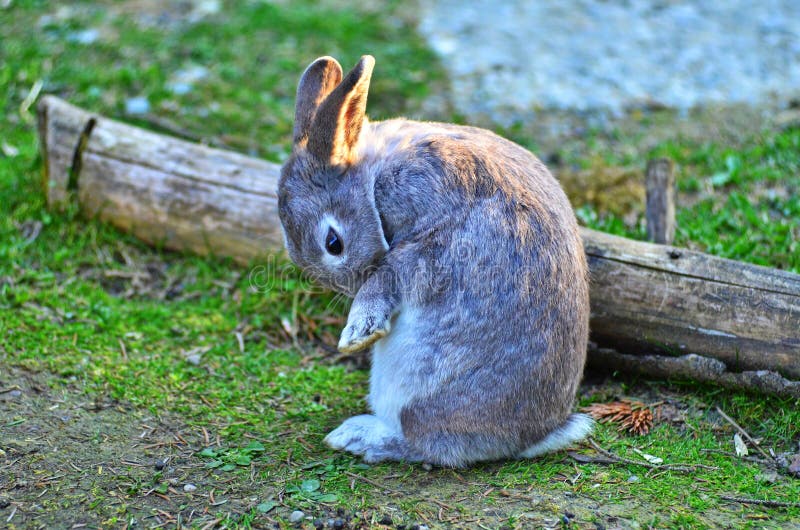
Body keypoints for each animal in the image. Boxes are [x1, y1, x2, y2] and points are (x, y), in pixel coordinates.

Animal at [277, 55, 592, 468]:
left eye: (334, 243)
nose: (351, 284)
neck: (373, 175)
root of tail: (534, 437)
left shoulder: (426, 229)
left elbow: (394, 274)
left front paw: (358, 332)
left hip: (412, 388)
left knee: (425, 444)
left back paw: (358, 437)